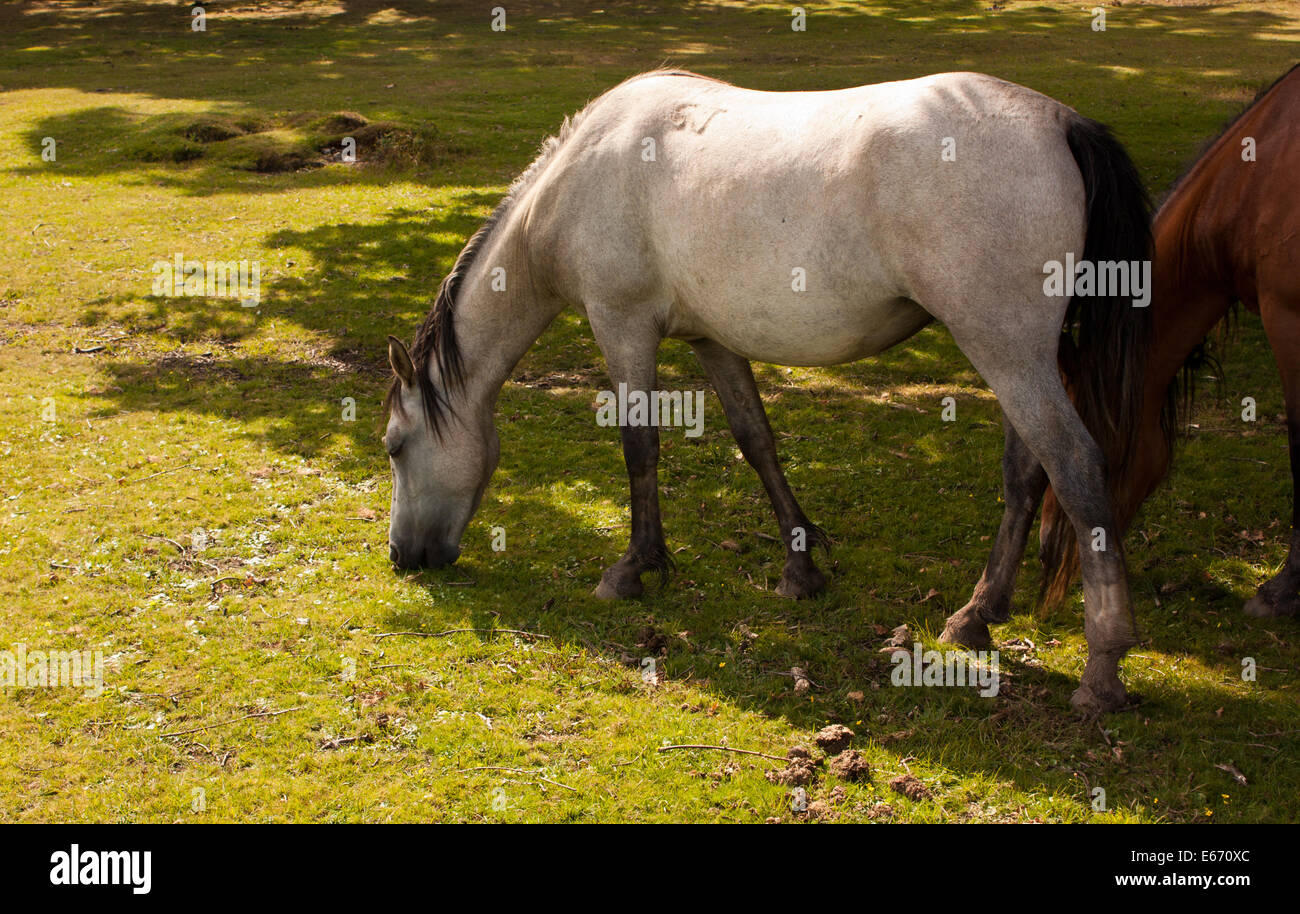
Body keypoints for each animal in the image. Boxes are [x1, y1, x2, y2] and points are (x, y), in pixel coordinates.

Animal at [382, 69, 1152, 716]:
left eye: (394, 446)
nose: (402, 558)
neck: (580, 178)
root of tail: (1061, 122)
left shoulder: (621, 325)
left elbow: (639, 447)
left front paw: (634, 569)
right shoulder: (712, 340)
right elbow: (757, 441)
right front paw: (799, 567)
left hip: (1006, 350)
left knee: (1075, 466)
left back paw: (1102, 669)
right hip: (1020, 357)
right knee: (1027, 472)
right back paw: (977, 615)